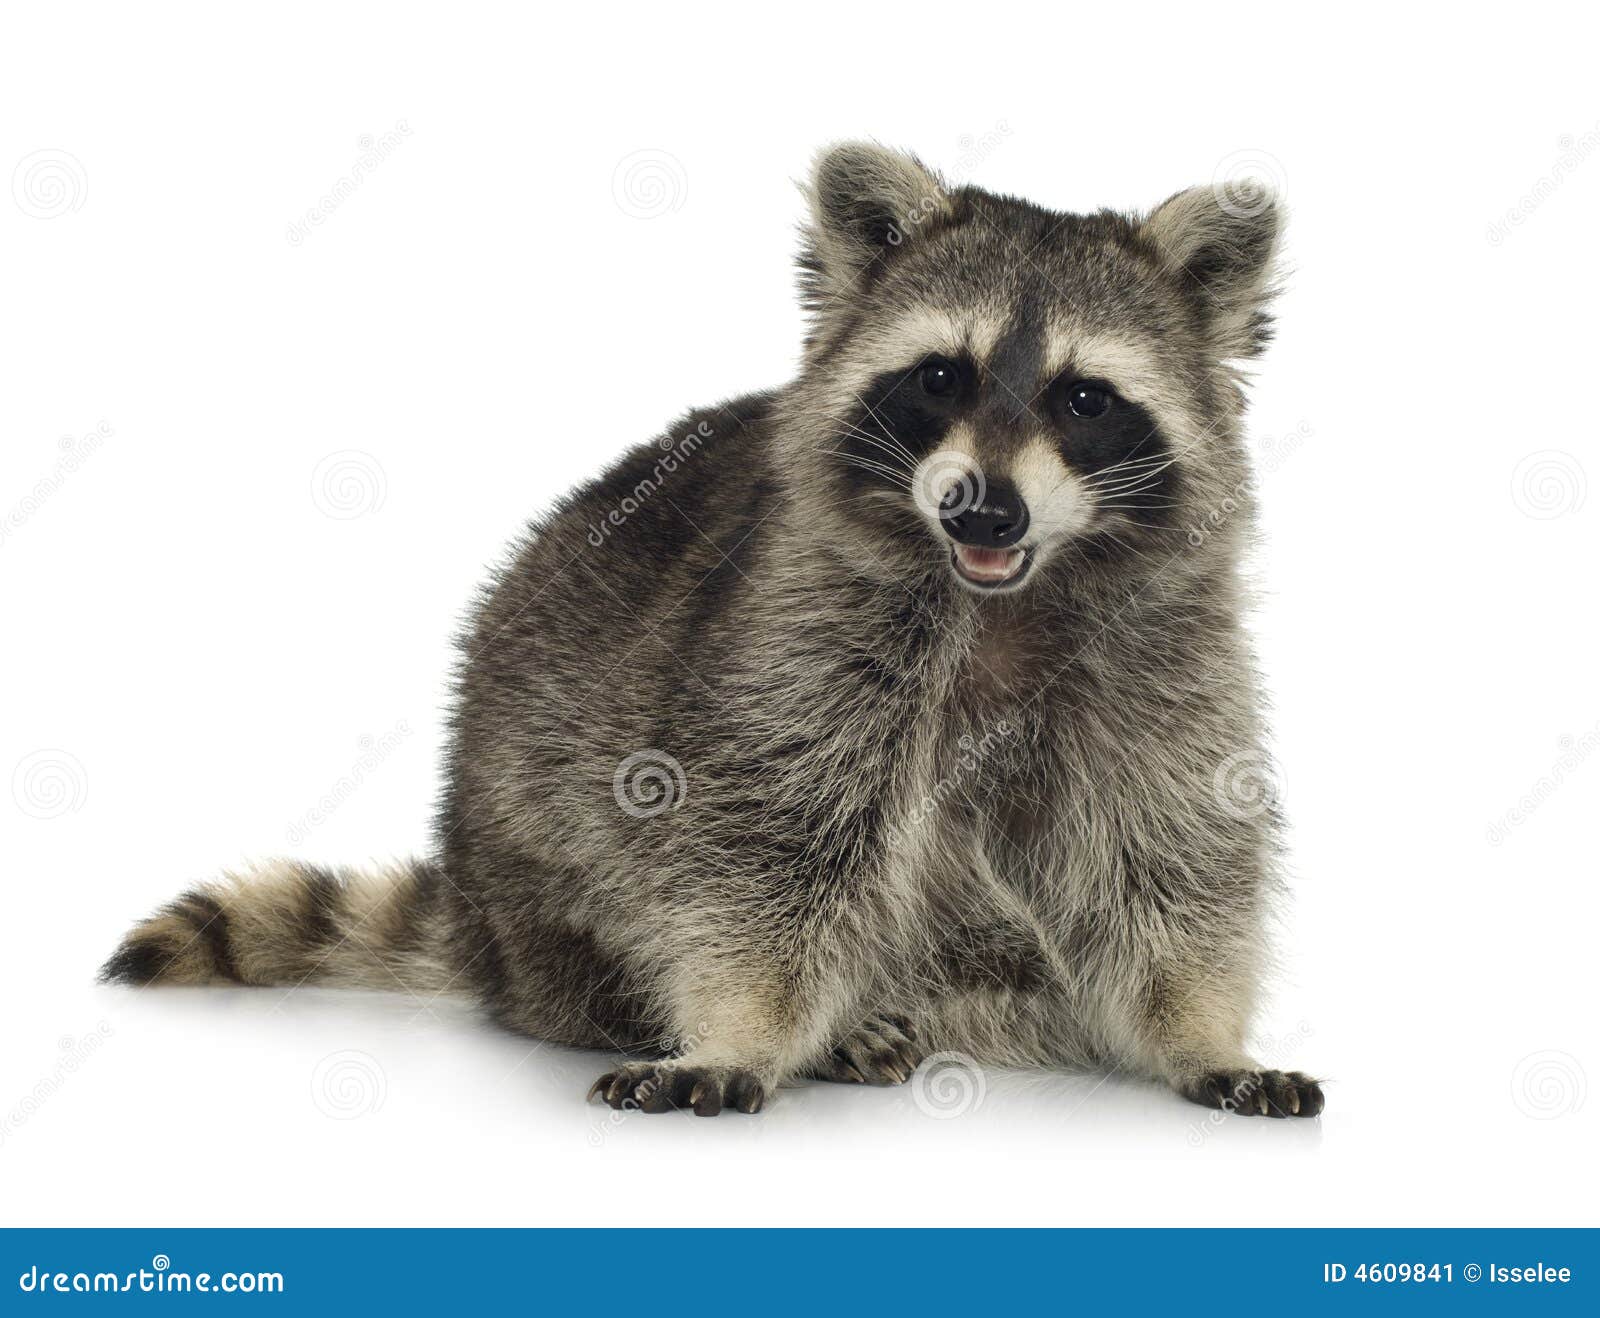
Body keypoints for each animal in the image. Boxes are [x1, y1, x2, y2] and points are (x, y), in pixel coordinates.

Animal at [103, 143, 1323, 1120]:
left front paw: (1201, 1032)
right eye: (941, 376)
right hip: (534, 869)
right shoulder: (793, 644)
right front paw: (744, 1030)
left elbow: (1170, 853)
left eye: (1083, 398)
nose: (984, 510)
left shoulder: (1160, 657)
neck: (998, 598)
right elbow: (761, 850)